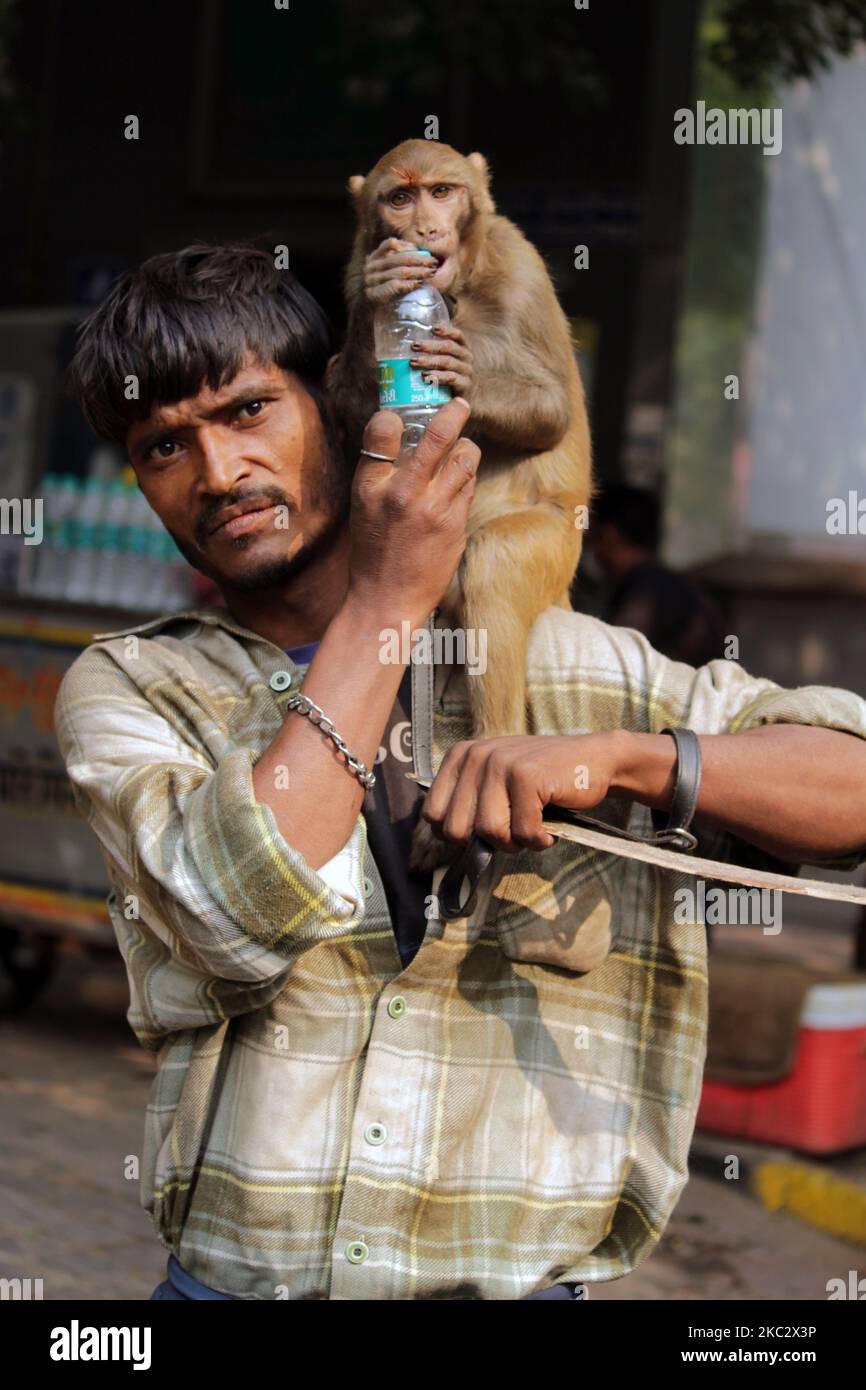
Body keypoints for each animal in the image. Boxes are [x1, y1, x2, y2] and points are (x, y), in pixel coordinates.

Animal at [327, 139, 593, 871]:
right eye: (400, 197)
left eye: (442, 192)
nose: (423, 228)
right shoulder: (357, 269)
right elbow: (349, 393)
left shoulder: (517, 264)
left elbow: (552, 410)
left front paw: (459, 372)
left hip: (556, 554)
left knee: (496, 561)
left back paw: (491, 760)